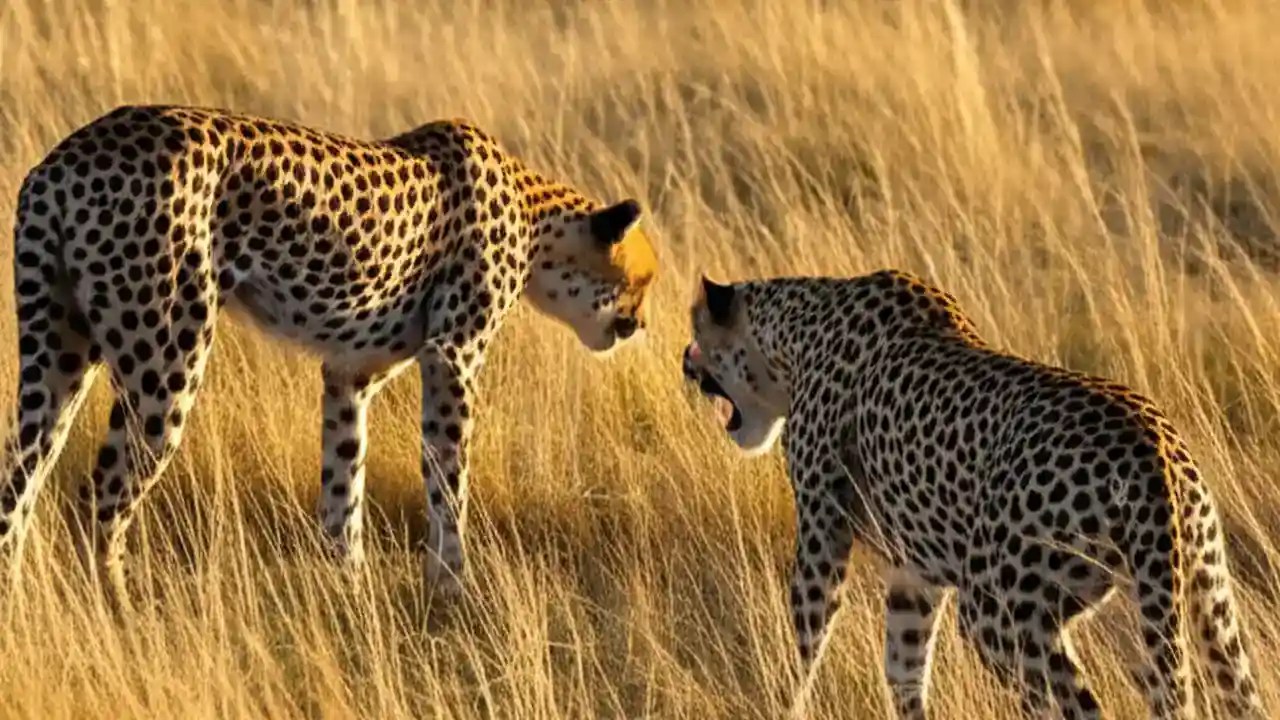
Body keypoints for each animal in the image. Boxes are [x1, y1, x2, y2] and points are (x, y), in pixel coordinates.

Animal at [1, 104, 657, 596]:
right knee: (99, 496)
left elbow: (345, 479)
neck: (535, 214)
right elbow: (448, 481)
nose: (640, 325)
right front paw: (452, 585)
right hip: (164, 363)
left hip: (60, 351)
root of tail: (67, 155)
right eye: (642, 281)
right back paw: (117, 602)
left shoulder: (349, 373)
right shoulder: (452, 357)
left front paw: (348, 582)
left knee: (18, 479)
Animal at [680, 270, 1261, 719]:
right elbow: (903, 669)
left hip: (999, 614)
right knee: (1236, 690)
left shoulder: (823, 532)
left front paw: (774, 699)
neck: (793, 337)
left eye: (696, 331)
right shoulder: (914, 573)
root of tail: (1151, 445)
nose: (685, 361)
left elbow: (805, 640)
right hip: (1207, 602)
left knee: (1080, 706)